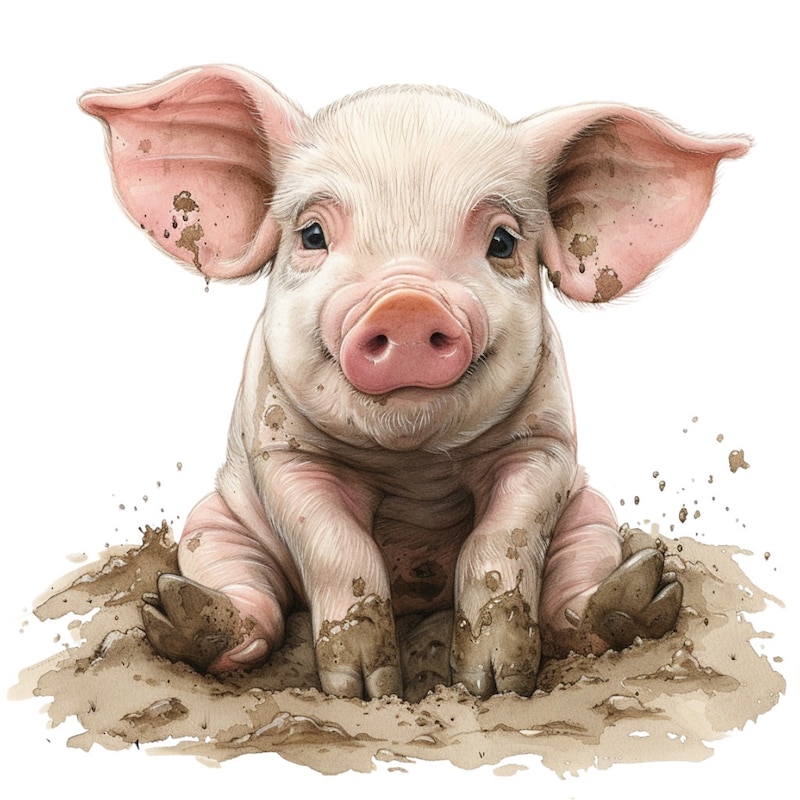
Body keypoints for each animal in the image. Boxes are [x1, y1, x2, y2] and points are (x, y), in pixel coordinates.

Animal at [80, 65, 749, 700]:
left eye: (502, 241)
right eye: (312, 235)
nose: (406, 304)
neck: (413, 465)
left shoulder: (545, 445)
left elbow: (501, 542)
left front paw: (491, 689)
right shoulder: (282, 452)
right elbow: (338, 547)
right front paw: (366, 695)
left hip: (590, 513)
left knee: (578, 591)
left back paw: (632, 601)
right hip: (216, 521)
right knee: (238, 588)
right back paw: (185, 617)